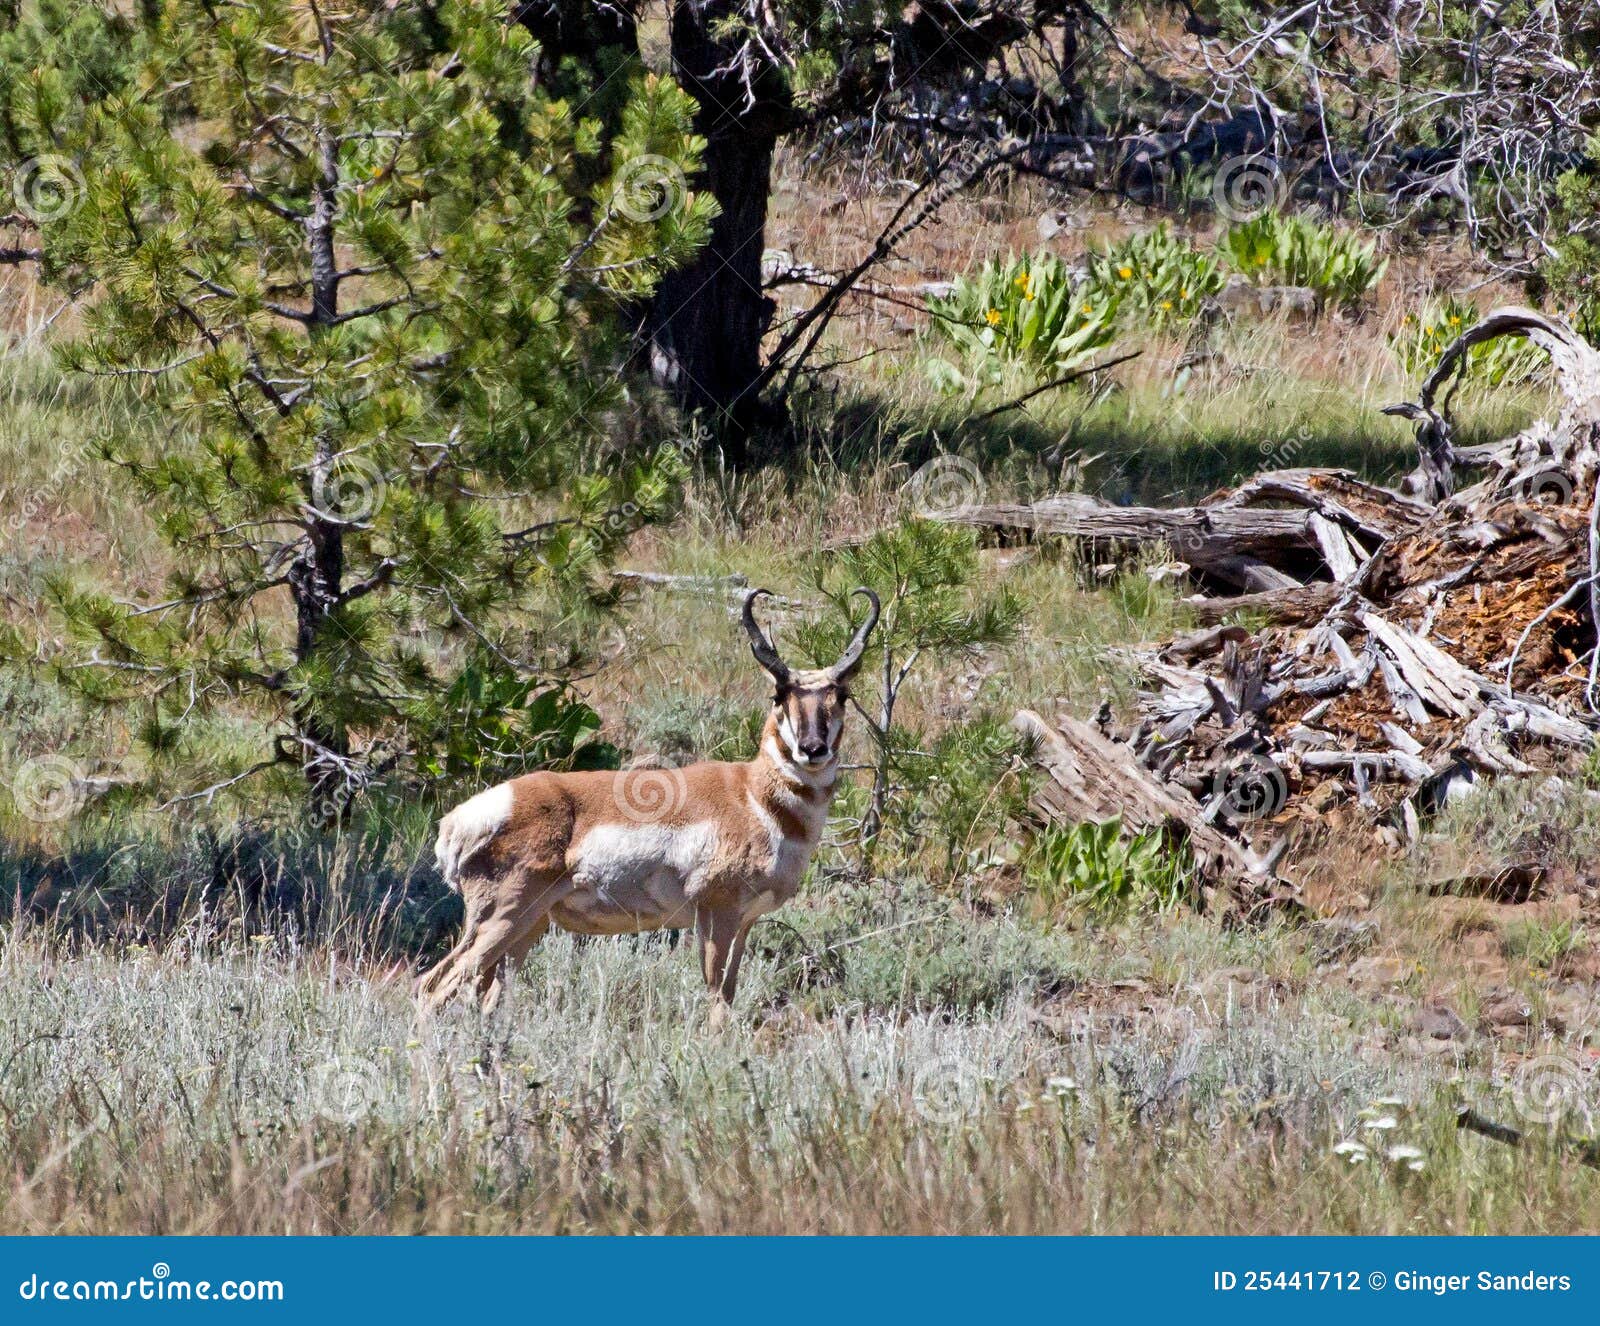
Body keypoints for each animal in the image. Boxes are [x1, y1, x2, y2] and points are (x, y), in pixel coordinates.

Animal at [417, 586, 881, 1023]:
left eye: (841, 694)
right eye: (779, 694)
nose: (813, 749)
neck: (752, 796)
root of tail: (463, 819)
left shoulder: (746, 920)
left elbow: (729, 994)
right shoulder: (716, 914)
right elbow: (716, 1001)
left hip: (529, 925)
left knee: (487, 995)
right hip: (504, 916)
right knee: (435, 986)